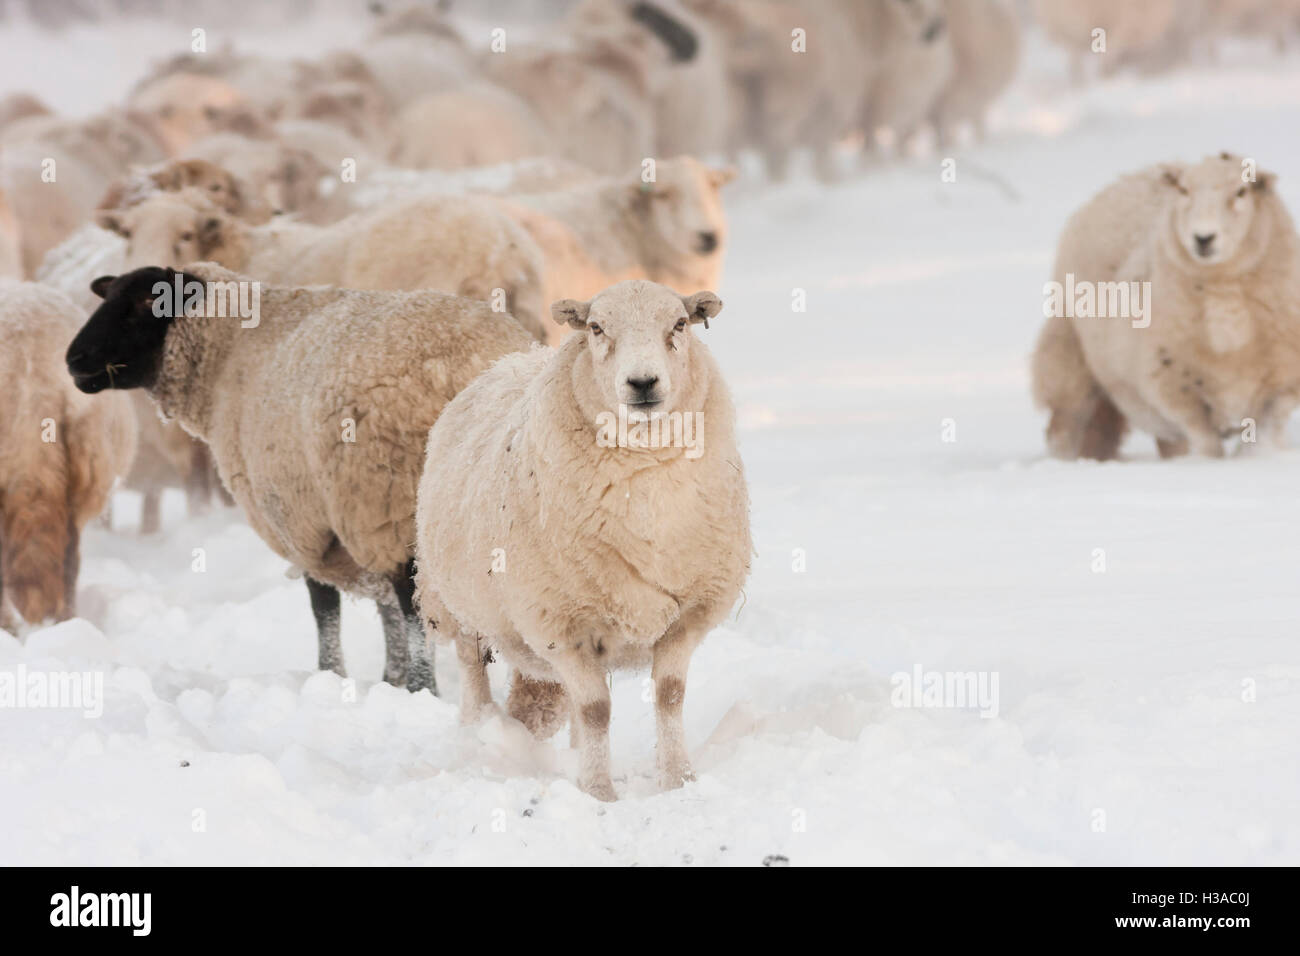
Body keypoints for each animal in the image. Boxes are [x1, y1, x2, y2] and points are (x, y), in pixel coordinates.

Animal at [66, 263, 537, 691]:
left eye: (146, 302)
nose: (73, 359)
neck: (227, 352)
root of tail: (474, 361)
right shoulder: (346, 520)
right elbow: (383, 614)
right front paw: (389, 679)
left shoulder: (306, 518)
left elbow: (325, 607)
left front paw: (334, 675)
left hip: (393, 500)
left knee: (412, 604)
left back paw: (425, 689)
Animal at [415, 278, 751, 800]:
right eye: (596, 328)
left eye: (679, 324)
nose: (643, 383)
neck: (644, 476)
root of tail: (511, 360)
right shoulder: (561, 624)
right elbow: (597, 711)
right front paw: (598, 793)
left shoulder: (687, 614)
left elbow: (668, 697)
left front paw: (678, 780)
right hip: (456, 603)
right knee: (473, 674)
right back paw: (476, 737)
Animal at [1031, 154, 1300, 460]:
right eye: (1184, 190)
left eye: (1241, 192)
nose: (1203, 238)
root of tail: (1131, 177)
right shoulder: (1178, 393)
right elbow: (1208, 446)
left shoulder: (1281, 387)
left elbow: (1261, 440)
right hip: (1070, 358)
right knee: (1063, 428)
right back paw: (1063, 461)